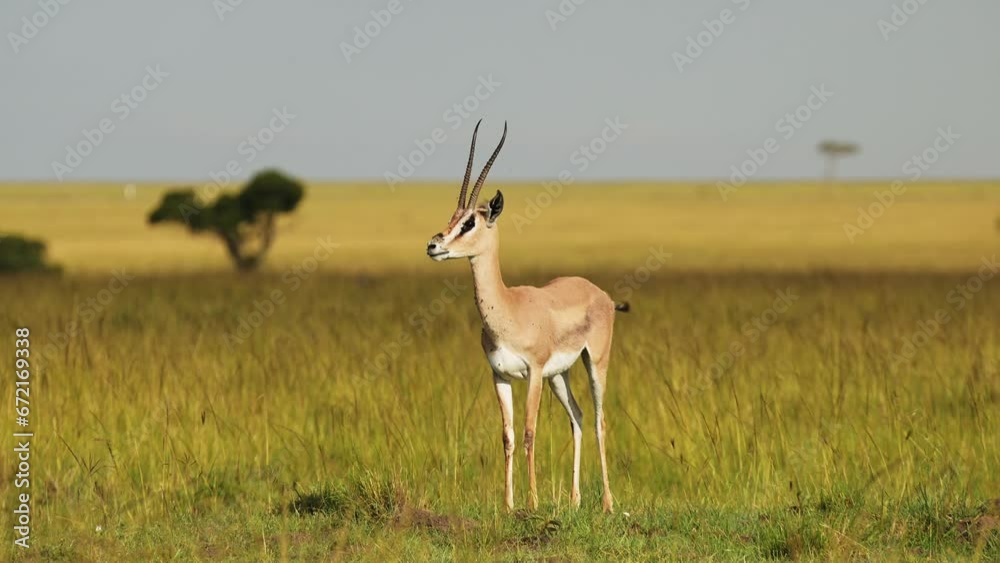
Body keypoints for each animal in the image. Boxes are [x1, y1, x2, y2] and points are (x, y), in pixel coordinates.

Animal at [425, 120, 628, 513]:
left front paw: (532, 502)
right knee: (578, 416)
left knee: (599, 420)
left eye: (470, 223)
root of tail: (602, 295)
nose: (433, 245)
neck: (509, 310)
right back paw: (574, 500)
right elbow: (506, 435)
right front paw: (508, 504)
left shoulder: (533, 372)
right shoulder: (499, 375)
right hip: (559, 375)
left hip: (594, 363)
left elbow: (530, 432)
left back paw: (608, 503)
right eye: (453, 217)